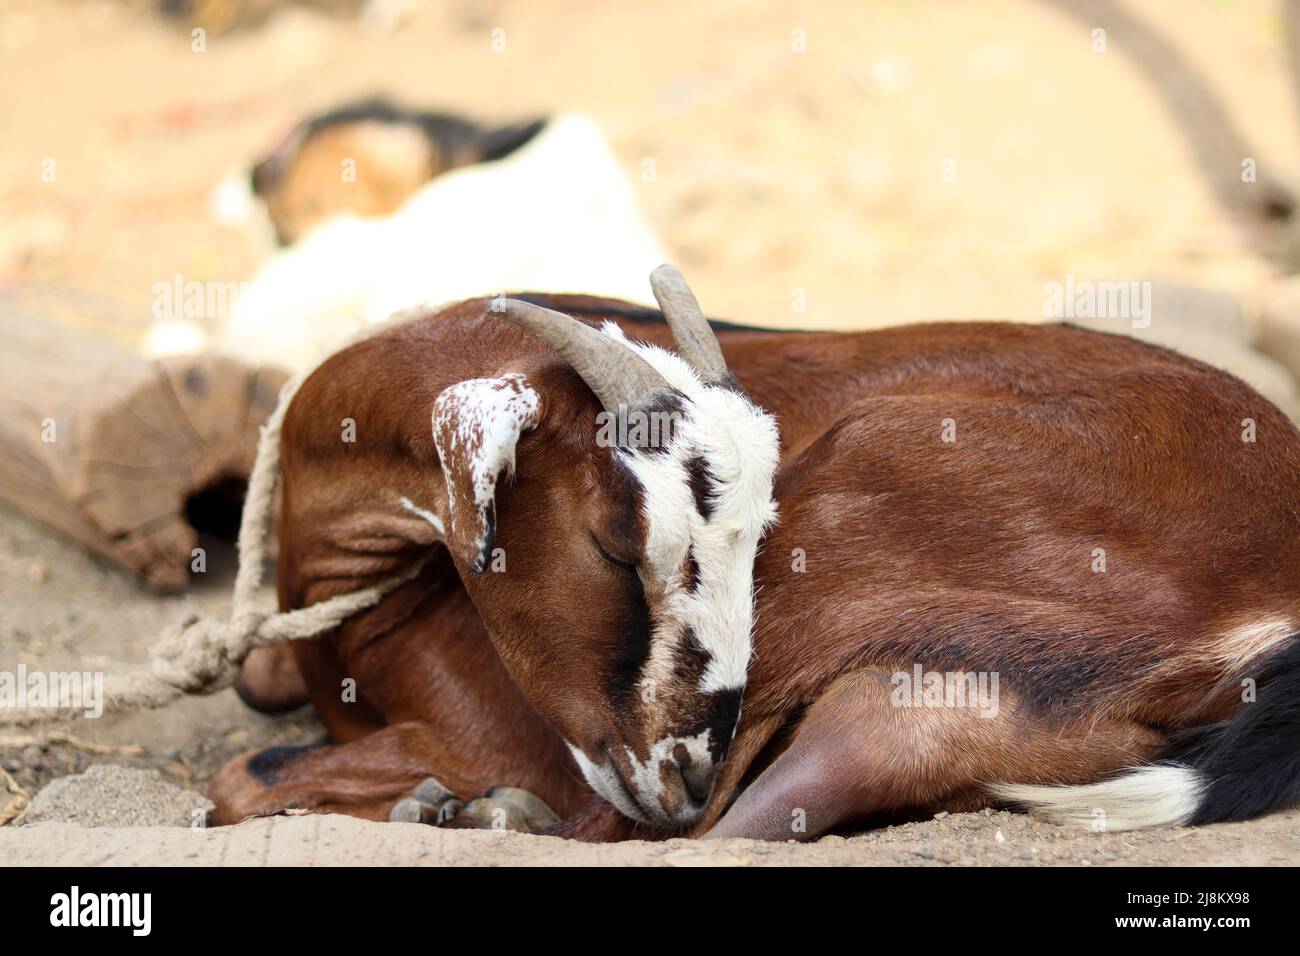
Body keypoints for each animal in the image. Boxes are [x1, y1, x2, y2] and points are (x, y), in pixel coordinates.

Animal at [212, 267, 1300, 840]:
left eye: (757, 530)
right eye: (616, 543)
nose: (687, 775)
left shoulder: (516, 737)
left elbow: (244, 777)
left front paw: (457, 798)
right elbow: (258, 690)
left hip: (869, 477)